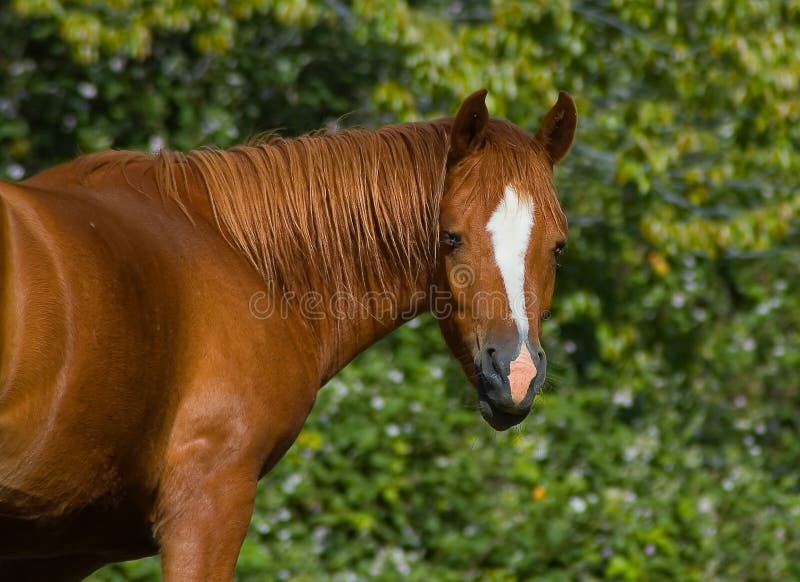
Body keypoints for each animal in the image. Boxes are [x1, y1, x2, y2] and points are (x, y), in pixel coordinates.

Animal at [0, 89, 576, 580]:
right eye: (451, 237)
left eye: (559, 247)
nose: (516, 374)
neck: (247, 257)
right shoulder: (208, 503)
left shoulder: (57, 550)